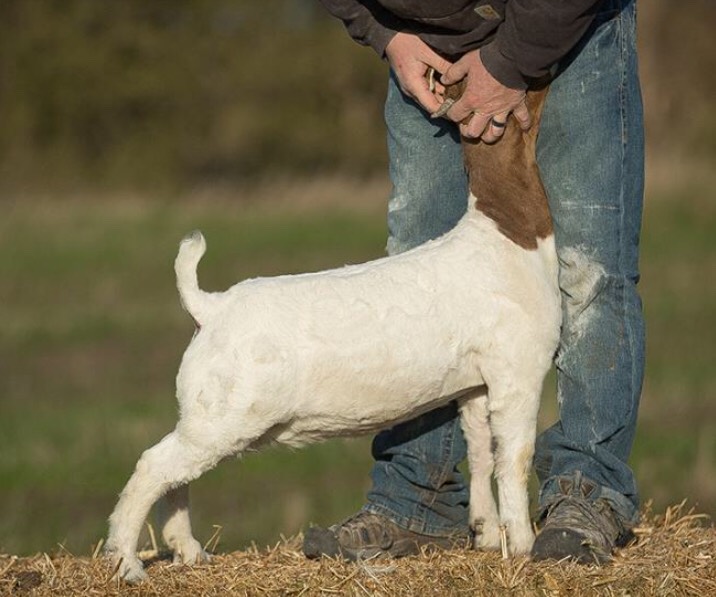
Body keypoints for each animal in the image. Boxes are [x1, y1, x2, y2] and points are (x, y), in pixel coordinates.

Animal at [106, 88, 560, 583]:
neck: (507, 233)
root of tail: (210, 306)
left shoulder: (476, 387)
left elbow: (481, 454)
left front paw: (487, 534)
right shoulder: (518, 374)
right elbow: (514, 459)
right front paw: (524, 545)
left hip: (209, 417)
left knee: (176, 478)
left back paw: (188, 551)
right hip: (223, 417)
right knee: (153, 466)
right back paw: (127, 563)